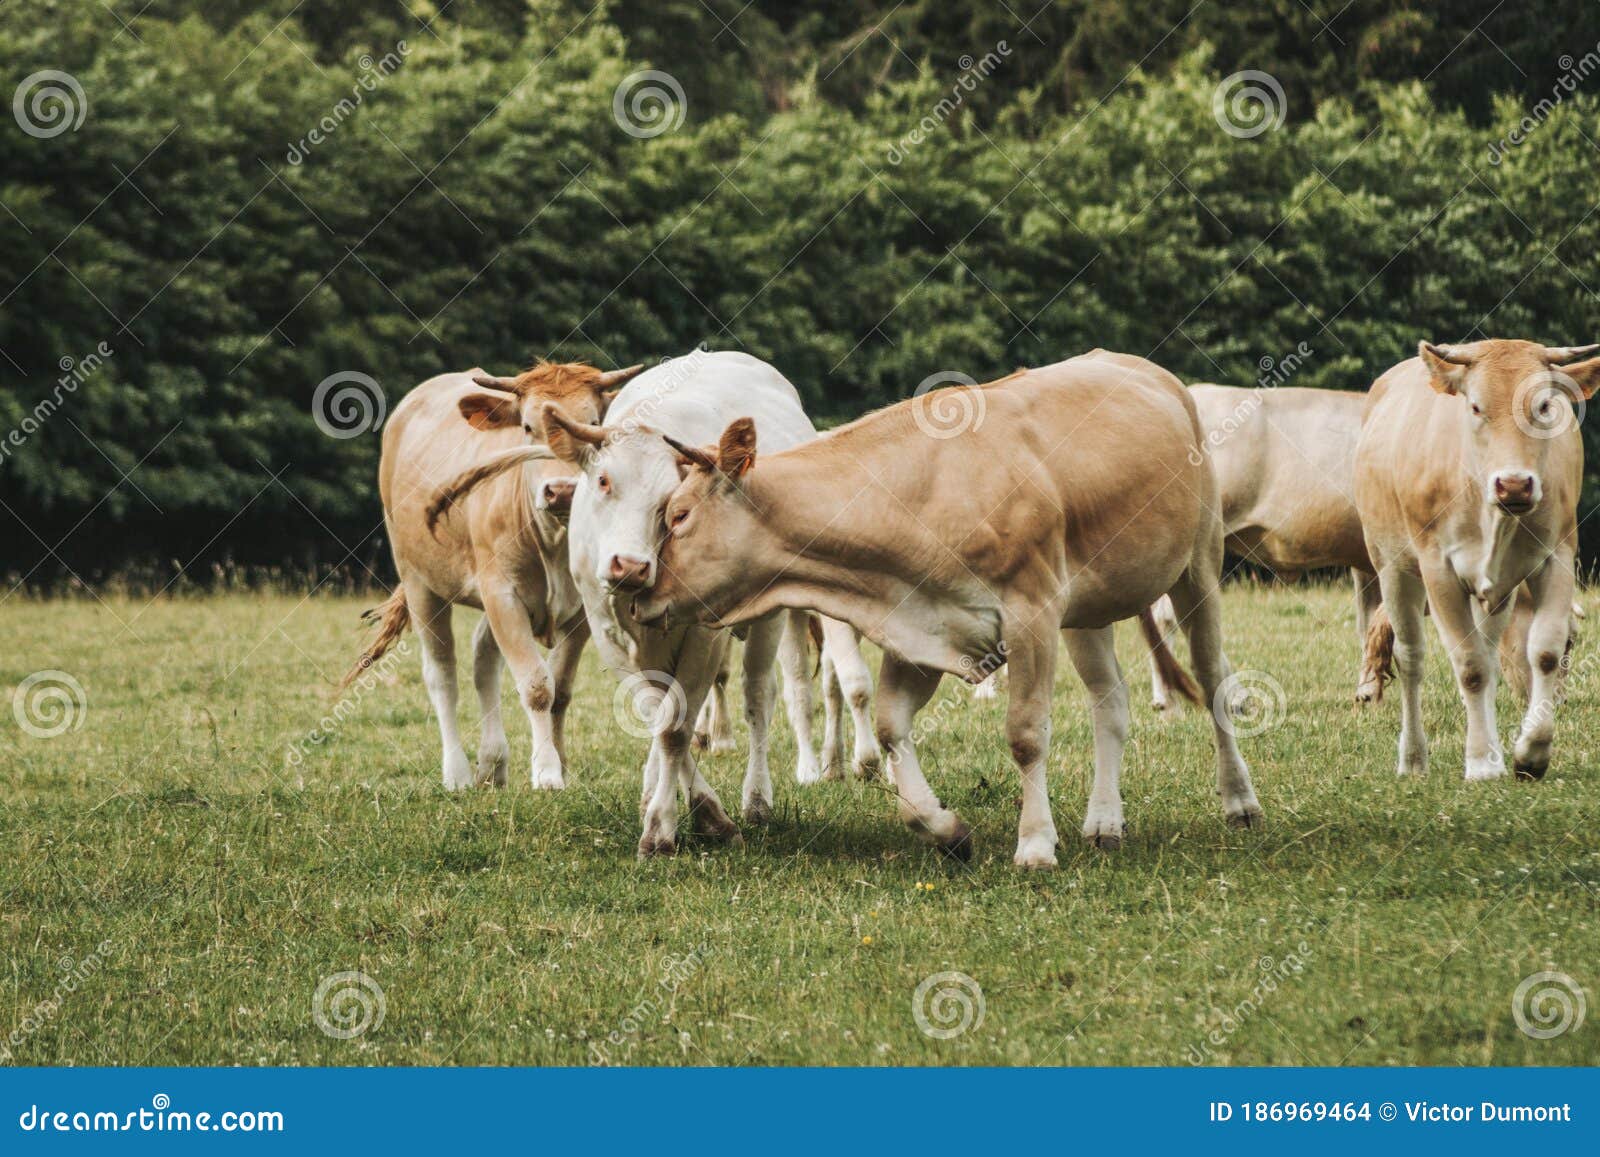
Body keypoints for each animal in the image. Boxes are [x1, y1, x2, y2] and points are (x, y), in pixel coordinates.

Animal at [345, 360, 642, 790]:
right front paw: (547, 772)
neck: (554, 541)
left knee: (484, 661)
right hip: (420, 581)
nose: (562, 491)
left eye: (592, 423)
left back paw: (493, 763)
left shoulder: (582, 608)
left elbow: (561, 689)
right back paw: (457, 773)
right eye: (528, 427)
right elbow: (537, 686)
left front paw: (560, 764)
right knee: (442, 675)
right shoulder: (502, 593)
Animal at [631, 350, 1264, 870]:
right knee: (1110, 701)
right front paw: (945, 828)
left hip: (1198, 566)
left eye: (679, 515)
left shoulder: (1031, 612)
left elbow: (1025, 733)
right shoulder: (923, 623)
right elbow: (891, 728)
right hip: (1088, 611)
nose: (641, 593)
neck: (925, 489)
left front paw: (1035, 843)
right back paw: (1104, 819)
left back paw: (1240, 801)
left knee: (1213, 680)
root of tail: (1152, 372)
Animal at [1355, 339, 1596, 781]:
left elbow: (1542, 653)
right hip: (1392, 567)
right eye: (1475, 407)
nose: (1514, 484)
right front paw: (1481, 763)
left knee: (1488, 651)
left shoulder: (1557, 557)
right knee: (1411, 657)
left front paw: (1530, 753)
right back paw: (1413, 758)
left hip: (1496, 595)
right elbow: (1470, 668)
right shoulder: (1439, 571)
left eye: (1544, 406)